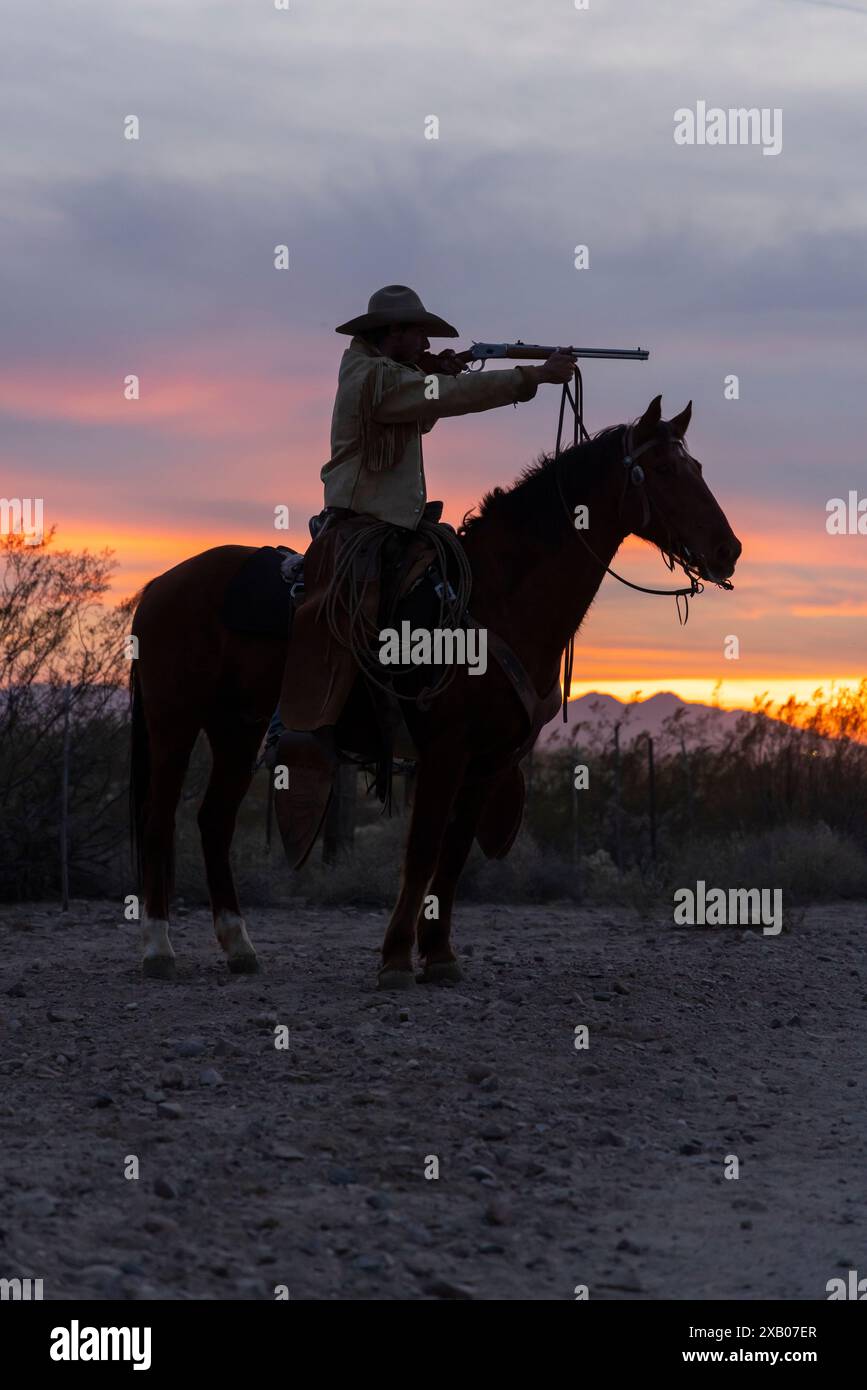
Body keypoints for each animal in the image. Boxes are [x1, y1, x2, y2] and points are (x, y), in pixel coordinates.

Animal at [129, 395, 741, 987]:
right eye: (663, 469)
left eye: (698, 468)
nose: (728, 550)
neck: (496, 600)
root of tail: (160, 586)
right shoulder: (446, 750)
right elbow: (422, 849)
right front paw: (397, 959)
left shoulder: (487, 760)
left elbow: (454, 852)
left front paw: (441, 956)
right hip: (174, 722)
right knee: (160, 820)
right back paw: (159, 949)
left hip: (237, 726)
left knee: (214, 820)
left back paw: (239, 947)